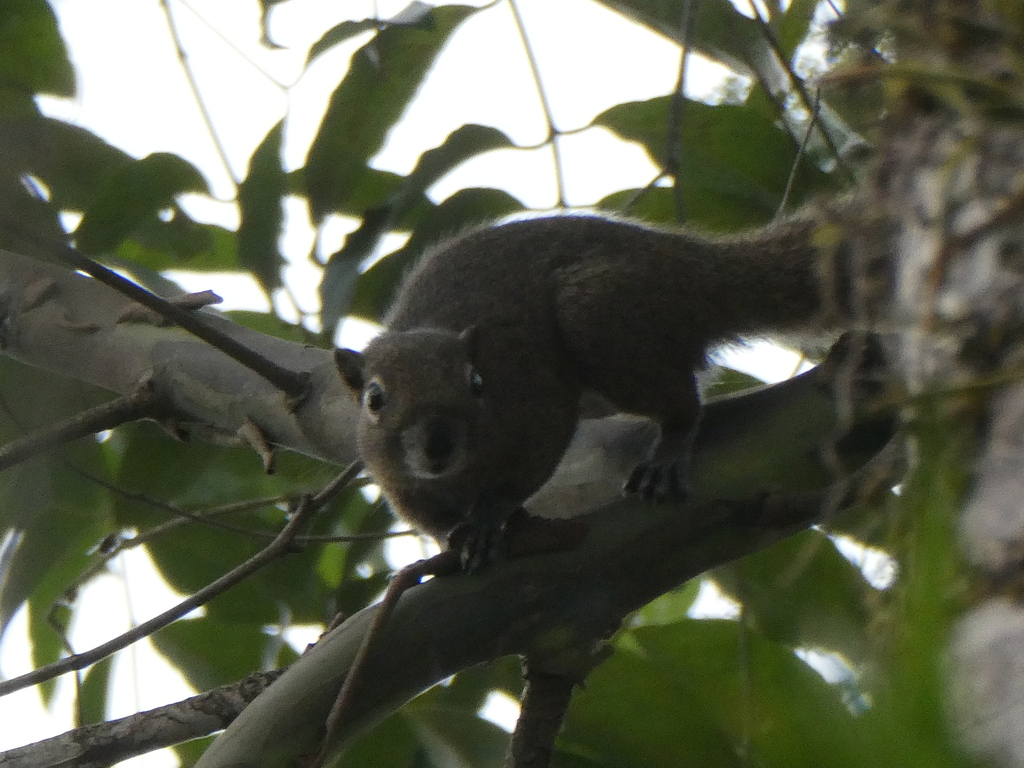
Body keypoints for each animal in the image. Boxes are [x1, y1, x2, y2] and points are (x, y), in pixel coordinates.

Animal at [334, 212, 854, 565]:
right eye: (374, 400)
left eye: (476, 381)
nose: (437, 442)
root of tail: (693, 270)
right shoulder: (394, 478)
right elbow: (426, 515)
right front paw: (450, 535)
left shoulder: (538, 405)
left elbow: (528, 470)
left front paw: (487, 517)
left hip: (599, 316)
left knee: (683, 404)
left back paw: (669, 452)